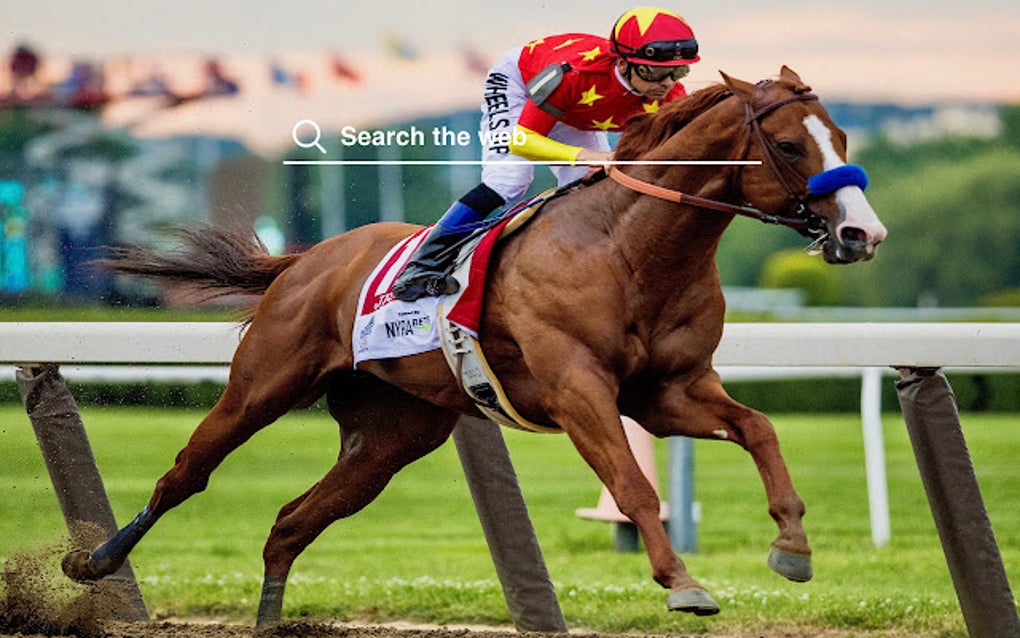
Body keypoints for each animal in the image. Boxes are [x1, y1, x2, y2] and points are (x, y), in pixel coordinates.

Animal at [62, 66, 886, 627]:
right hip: (261, 385)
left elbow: (760, 429)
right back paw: (93, 560)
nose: (862, 233)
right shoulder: (578, 388)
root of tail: (305, 260)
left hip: (391, 435)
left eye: (843, 138)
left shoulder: (670, 392)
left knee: (291, 523)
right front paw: (683, 583)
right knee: (186, 476)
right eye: (790, 144)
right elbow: (632, 486)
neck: (629, 250)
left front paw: (792, 545)